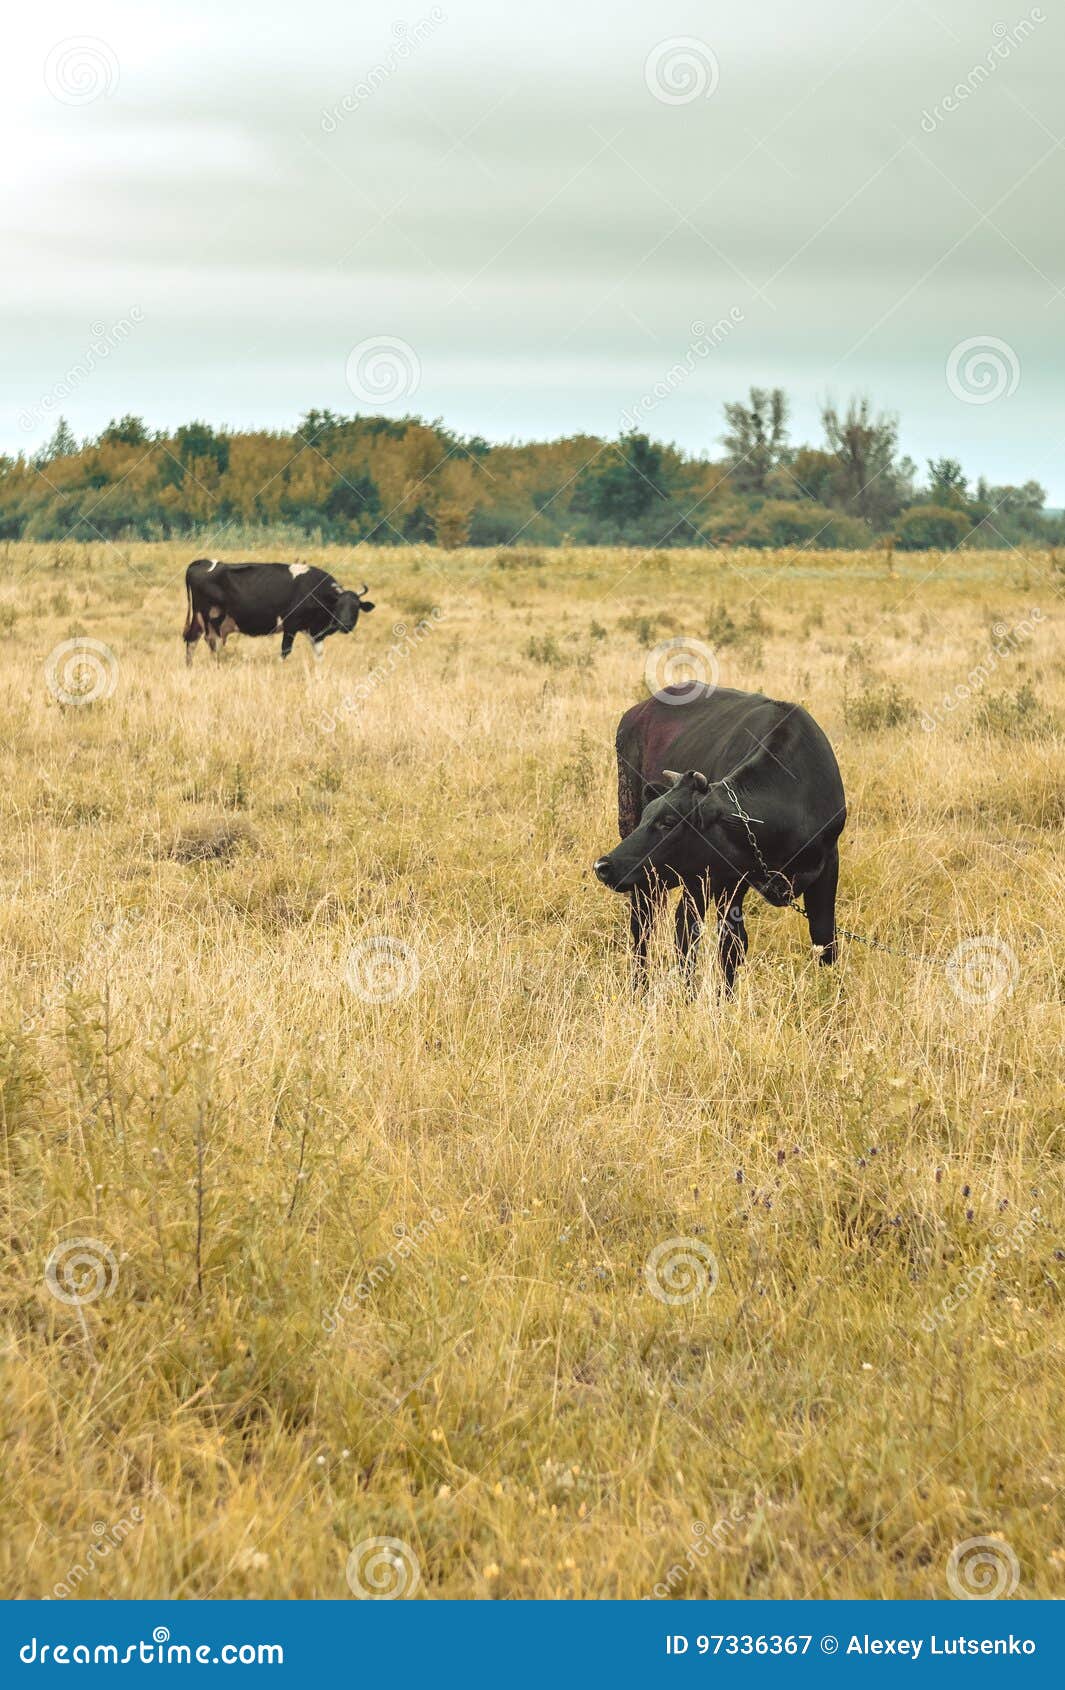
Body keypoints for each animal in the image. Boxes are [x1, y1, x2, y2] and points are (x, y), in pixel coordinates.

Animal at [183, 559, 375, 664]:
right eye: (339, 606)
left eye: (356, 607)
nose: (346, 625)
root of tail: (202, 562)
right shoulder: (291, 625)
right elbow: (285, 651)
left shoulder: (315, 631)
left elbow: (319, 654)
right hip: (211, 617)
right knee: (211, 642)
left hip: (200, 619)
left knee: (192, 640)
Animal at [593, 684, 845, 991]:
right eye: (648, 816)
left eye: (668, 822)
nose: (602, 866)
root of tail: (639, 710)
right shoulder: (727, 879)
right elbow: (730, 944)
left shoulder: (828, 863)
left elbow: (824, 938)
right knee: (649, 924)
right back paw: (643, 989)